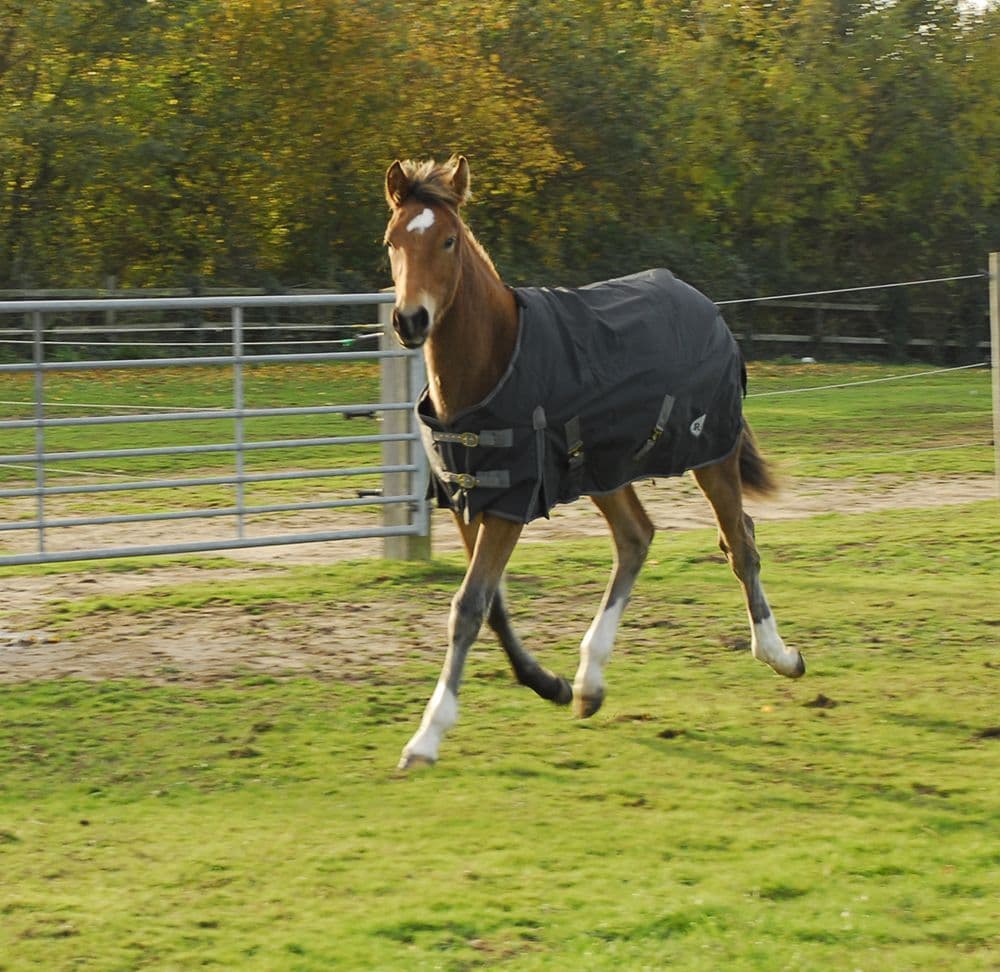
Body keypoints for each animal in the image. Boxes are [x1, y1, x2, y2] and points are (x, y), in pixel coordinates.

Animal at [383, 155, 805, 770]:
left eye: (448, 240)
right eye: (392, 240)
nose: (410, 320)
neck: (493, 362)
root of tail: (708, 309)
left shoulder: (511, 504)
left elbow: (468, 606)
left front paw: (426, 737)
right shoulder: (471, 499)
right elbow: (491, 605)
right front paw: (549, 684)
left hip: (712, 454)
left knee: (740, 542)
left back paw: (779, 654)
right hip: (605, 470)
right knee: (637, 537)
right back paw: (588, 683)